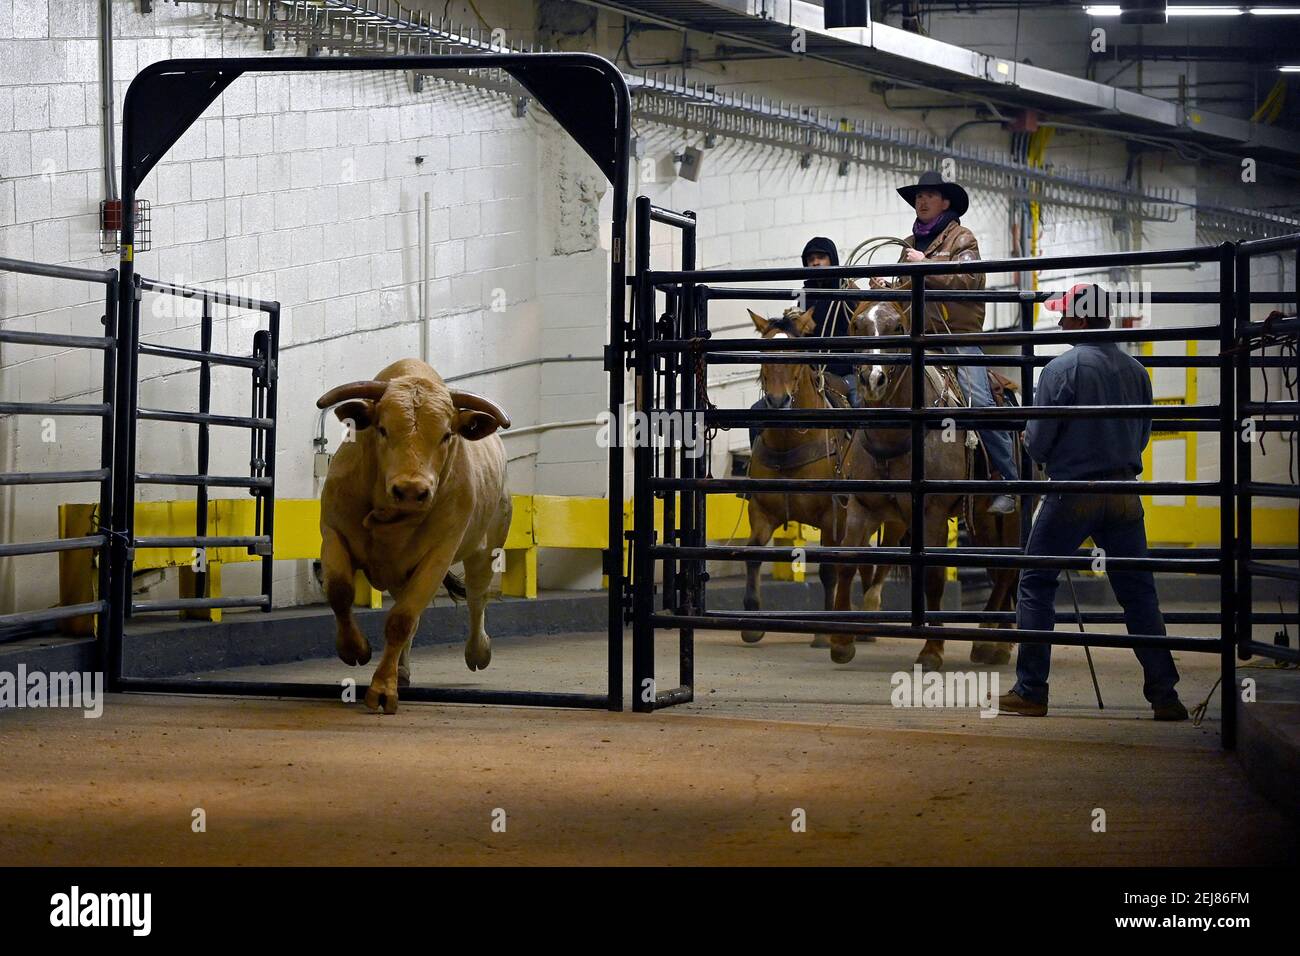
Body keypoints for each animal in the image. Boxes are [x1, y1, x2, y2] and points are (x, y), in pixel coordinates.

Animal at [315, 358, 512, 714]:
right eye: (382, 429)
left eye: (447, 434)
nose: (410, 490)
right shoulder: (334, 532)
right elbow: (339, 591)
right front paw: (355, 648)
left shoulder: (439, 554)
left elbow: (402, 619)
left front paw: (382, 688)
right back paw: (403, 669)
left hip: (487, 547)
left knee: (477, 598)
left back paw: (478, 652)